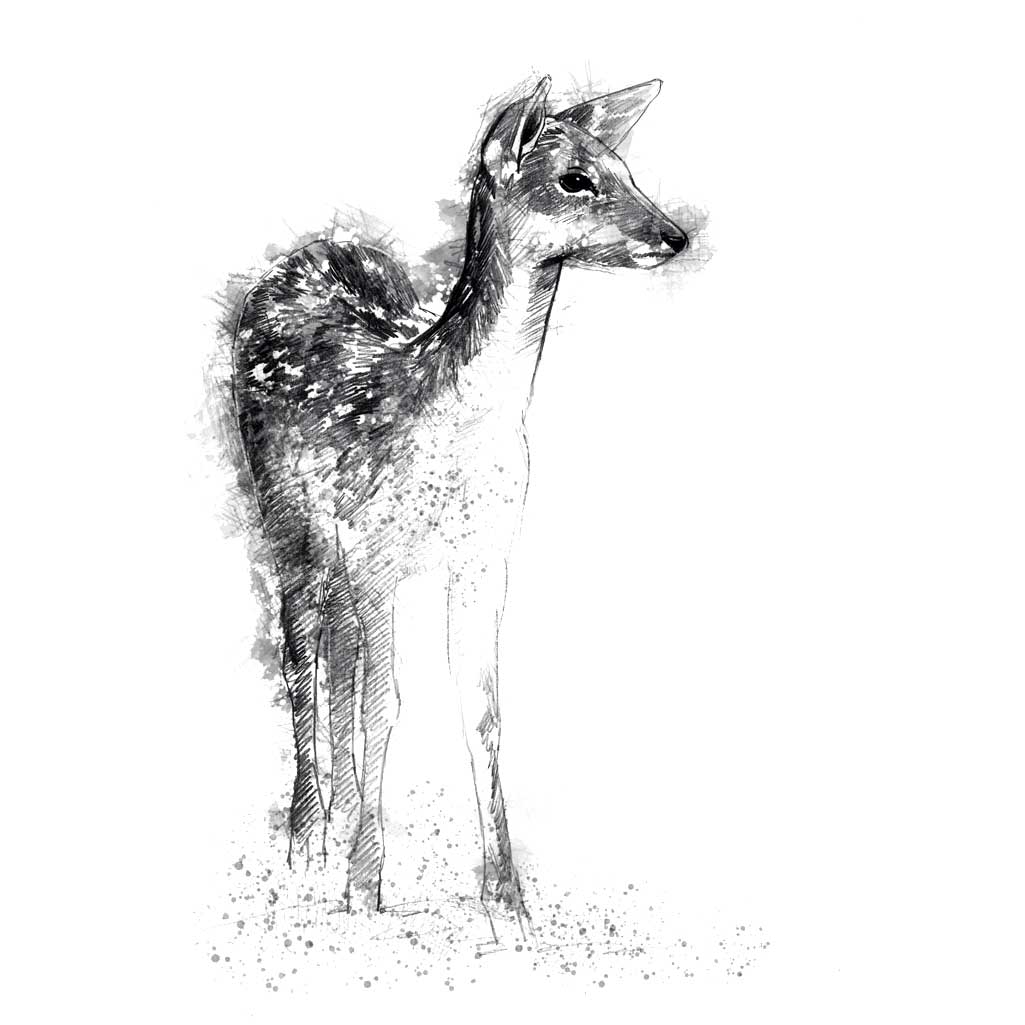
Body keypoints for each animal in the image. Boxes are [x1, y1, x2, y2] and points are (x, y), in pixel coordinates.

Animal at [231, 75, 689, 926]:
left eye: (625, 165)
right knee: (301, 646)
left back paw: (340, 821)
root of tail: (306, 252)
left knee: (337, 652)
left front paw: (507, 900)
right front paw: (364, 890)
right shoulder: (378, 549)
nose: (674, 235)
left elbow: (481, 711)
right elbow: (386, 703)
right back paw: (307, 840)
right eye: (576, 177)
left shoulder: (483, 554)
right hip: (284, 511)